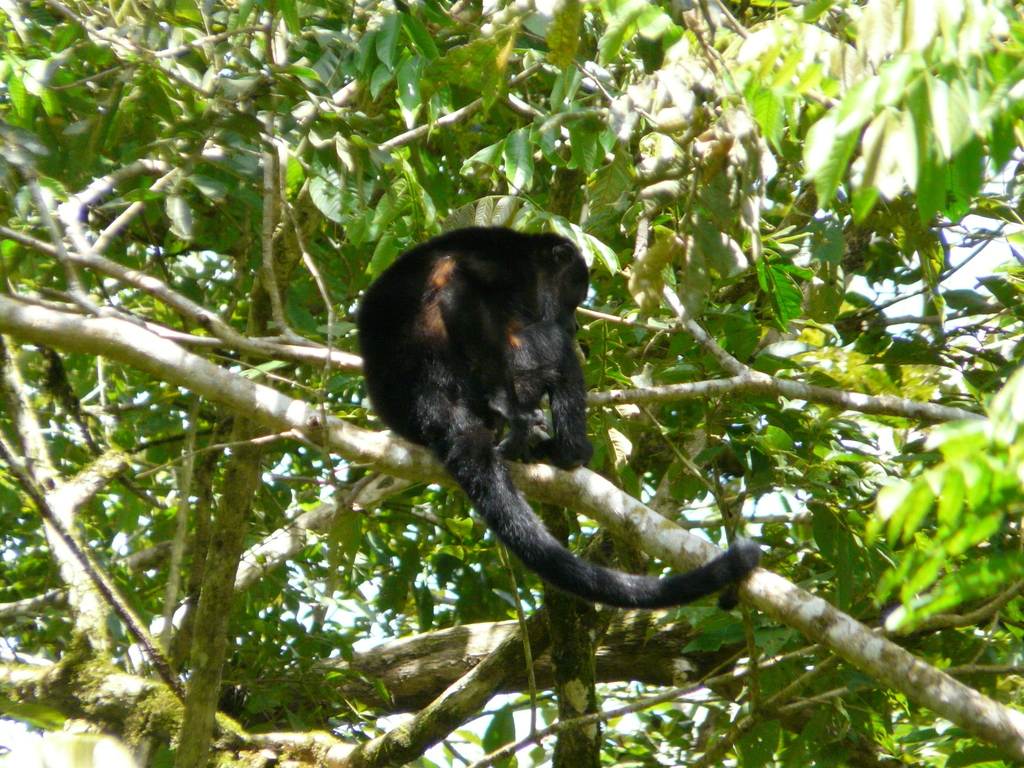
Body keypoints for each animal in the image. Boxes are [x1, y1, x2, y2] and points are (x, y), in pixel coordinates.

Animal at [356, 227, 760, 608]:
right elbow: (459, 290)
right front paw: (506, 405)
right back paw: (567, 448)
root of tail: (432, 405)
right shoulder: (503, 264)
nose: (575, 325)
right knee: (552, 345)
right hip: (513, 366)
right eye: (573, 298)